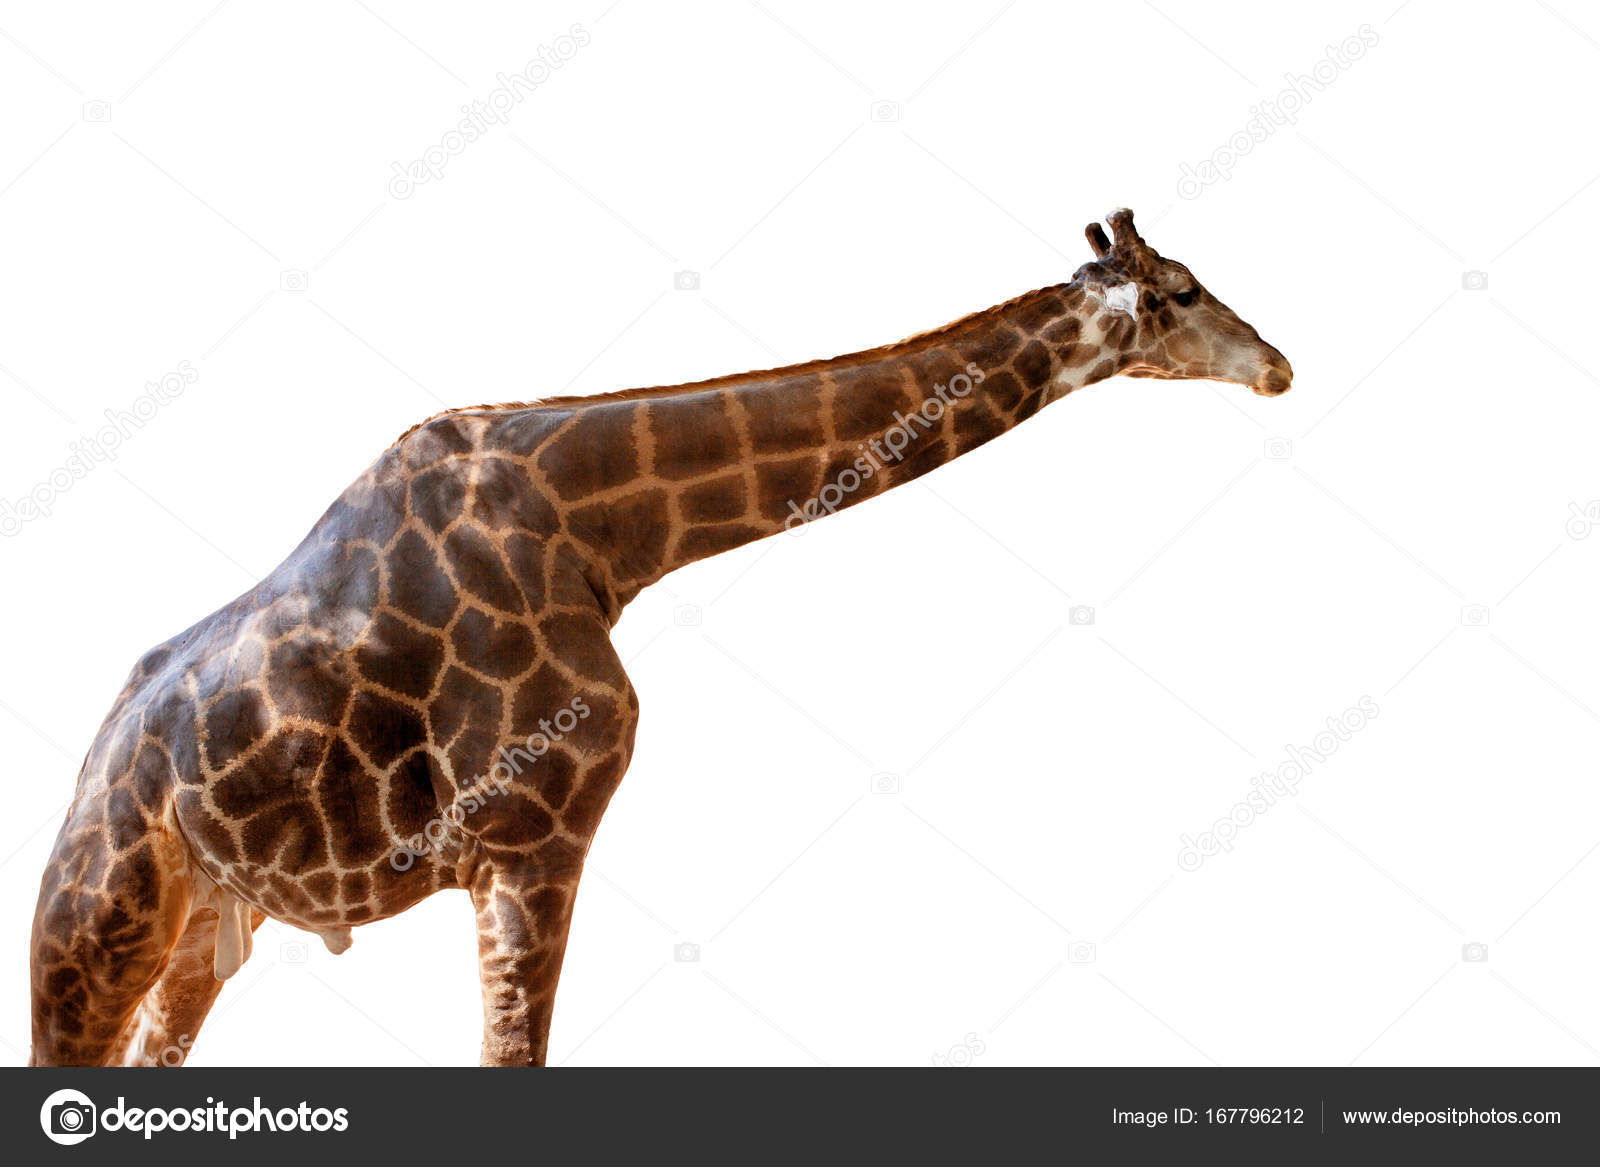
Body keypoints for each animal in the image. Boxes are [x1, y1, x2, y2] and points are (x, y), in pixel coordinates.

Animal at [30, 208, 1291, 1067]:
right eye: (1181, 290)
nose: (1278, 366)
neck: (596, 535)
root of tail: (98, 761)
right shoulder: (529, 842)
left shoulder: (518, 854)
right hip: (97, 918)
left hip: (211, 924)